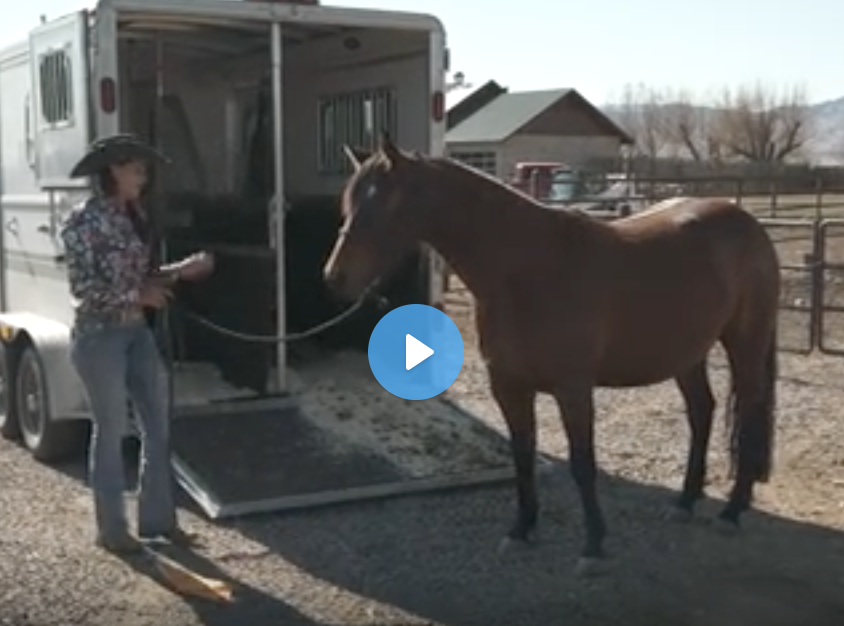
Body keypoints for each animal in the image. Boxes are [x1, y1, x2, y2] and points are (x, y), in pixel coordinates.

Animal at [322, 136, 780, 575]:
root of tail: (746, 224)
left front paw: (593, 547)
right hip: (686, 352)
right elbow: (523, 457)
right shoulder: (509, 386)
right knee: (702, 412)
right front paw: (521, 530)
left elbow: (582, 463)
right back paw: (685, 503)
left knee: (751, 412)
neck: (526, 271)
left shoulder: (573, 389)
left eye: (386, 203)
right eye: (350, 202)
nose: (335, 277)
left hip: (745, 341)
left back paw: (731, 511)